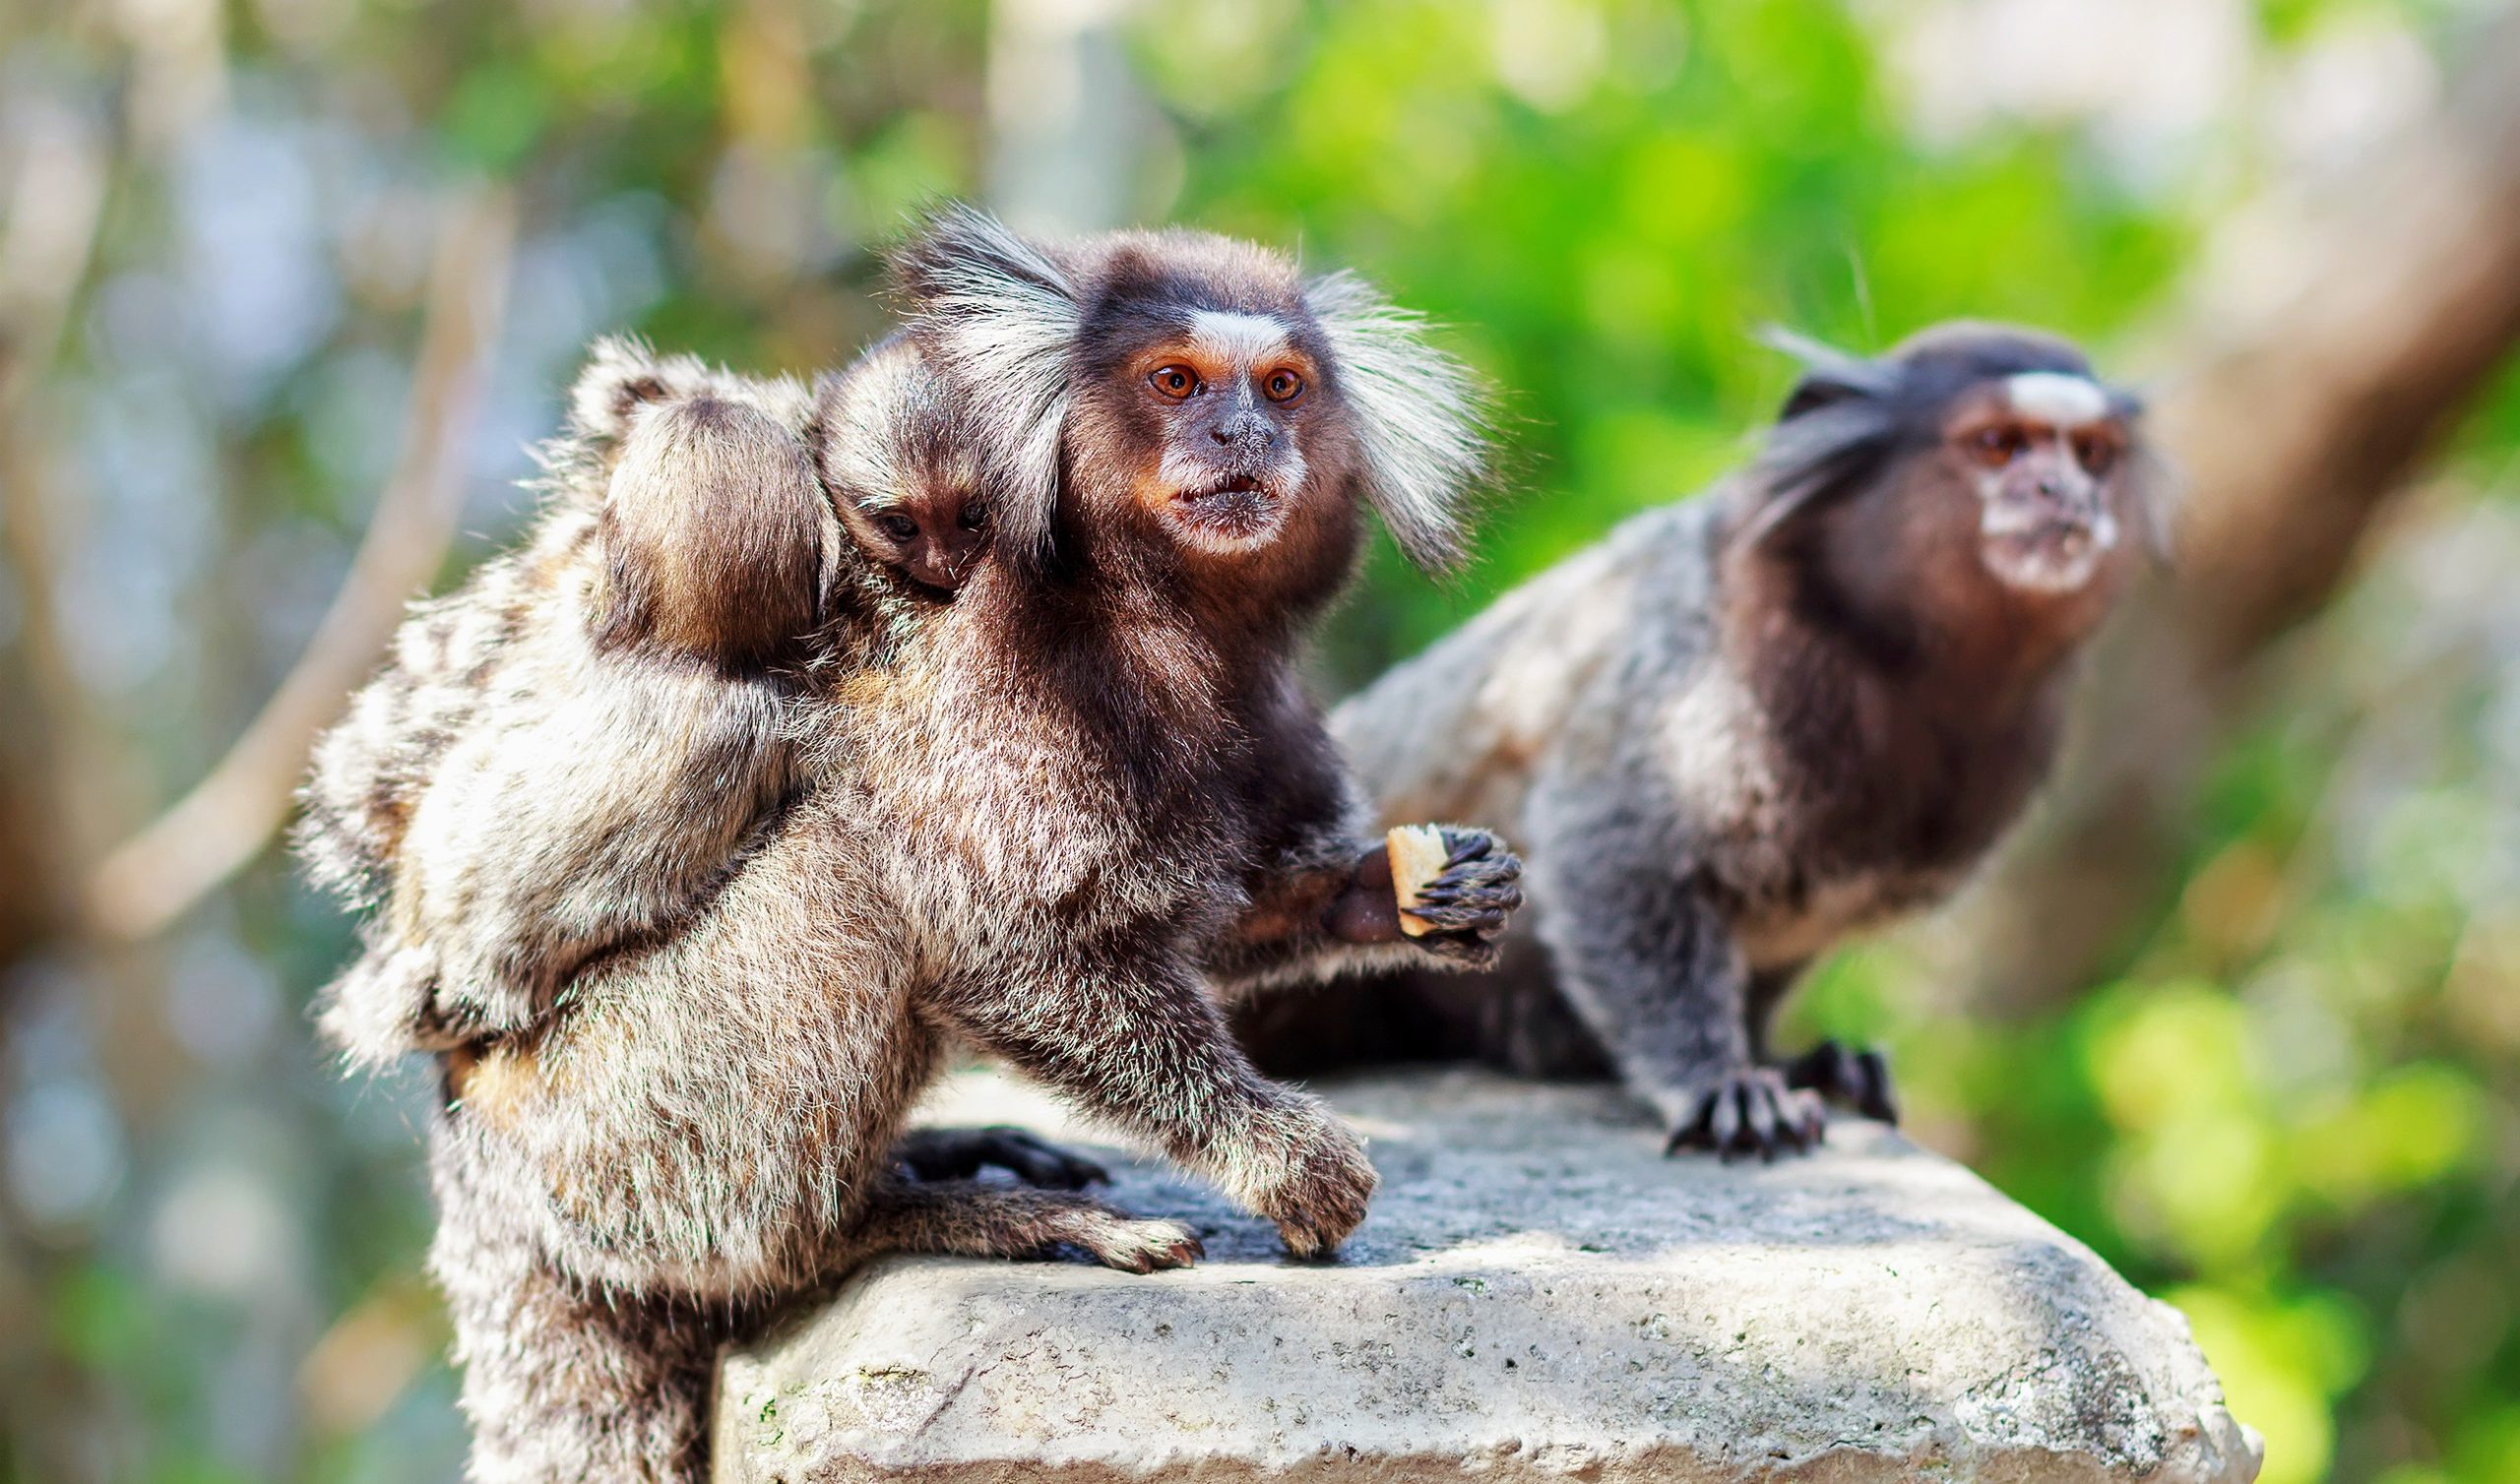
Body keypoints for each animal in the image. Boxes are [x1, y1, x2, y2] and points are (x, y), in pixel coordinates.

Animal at [305, 208, 1521, 1484]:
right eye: (1176, 381)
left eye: (1283, 385)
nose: (1241, 433)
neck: (1163, 617)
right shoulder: (995, 680)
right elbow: (1007, 942)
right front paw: (1279, 1153)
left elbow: (1218, 921)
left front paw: (1404, 893)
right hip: (598, 1123)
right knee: (839, 882)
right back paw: (892, 1217)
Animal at [1235, 322, 2167, 1162]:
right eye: (2000, 447)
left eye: (2091, 456)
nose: (2063, 495)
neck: (1896, 666)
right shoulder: (1694, 687)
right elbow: (1615, 860)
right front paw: (1721, 1079)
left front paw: (1793, 1060)